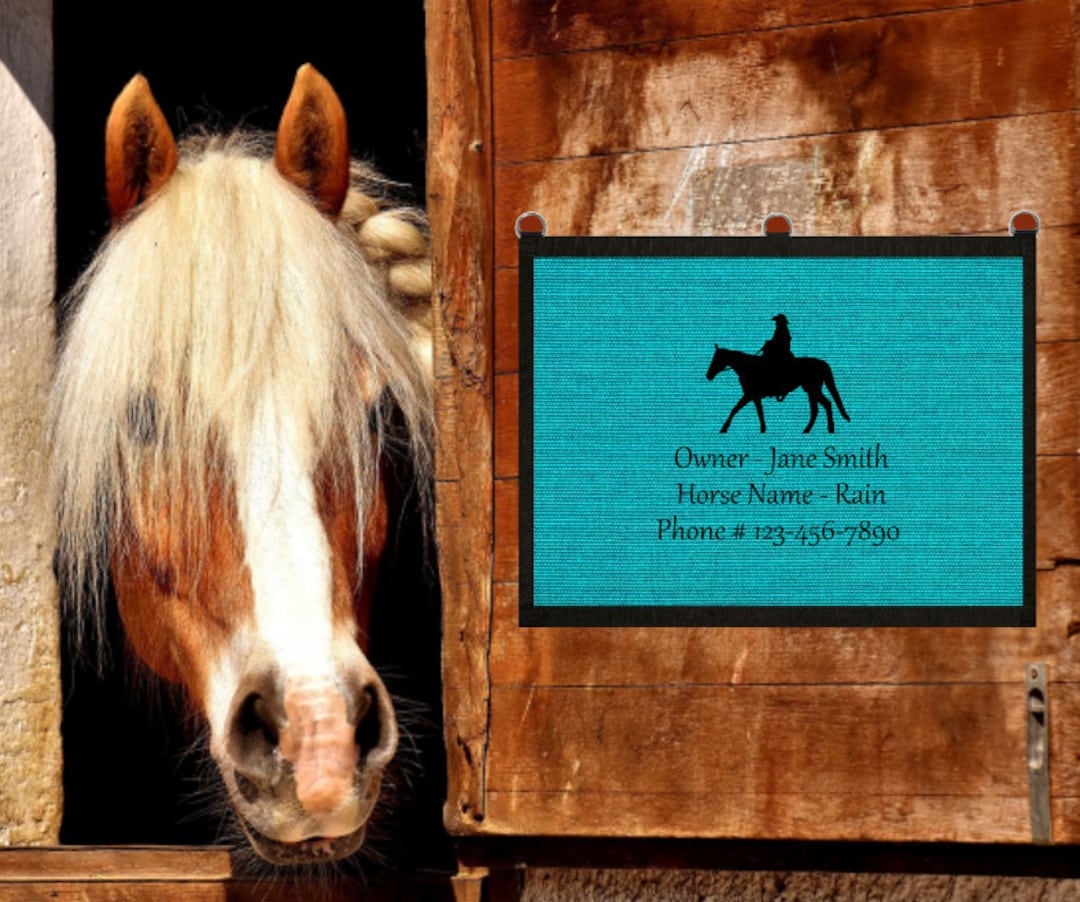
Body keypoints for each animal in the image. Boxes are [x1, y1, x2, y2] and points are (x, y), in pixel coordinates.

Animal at [705, 346, 850, 434]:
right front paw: (763, 429)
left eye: (717, 359)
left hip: (813, 389)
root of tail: (822, 363)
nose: (708, 375)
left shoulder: (750, 395)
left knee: (825, 404)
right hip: (811, 390)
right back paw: (809, 429)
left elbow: (736, 409)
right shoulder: (754, 396)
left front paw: (724, 428)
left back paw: (828, 428)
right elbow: (758, 412)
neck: (748, 367)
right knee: (818, 408)